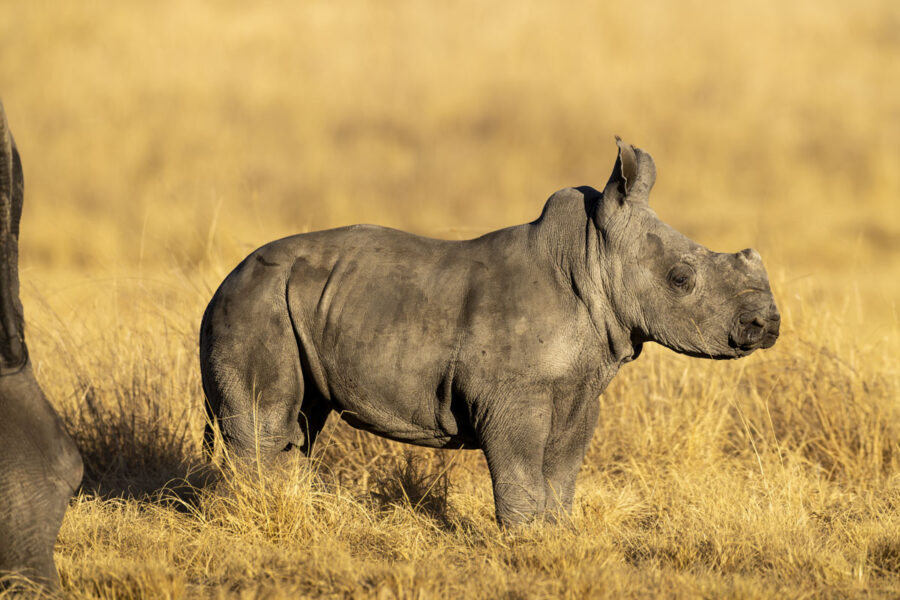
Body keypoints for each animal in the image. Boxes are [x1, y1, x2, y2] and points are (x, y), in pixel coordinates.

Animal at [200, 138, 779, 526]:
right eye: (681, 279)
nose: (766, 324)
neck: (591, 258)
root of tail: (225, 279)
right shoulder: (512, 395)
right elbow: (521, 466)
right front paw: (522, 539)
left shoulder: (581, 389)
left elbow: (563, 467)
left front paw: (556, 534)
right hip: (256, 301)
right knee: (269, 421)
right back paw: (258, 515)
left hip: (289, 301)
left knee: (303, 421)